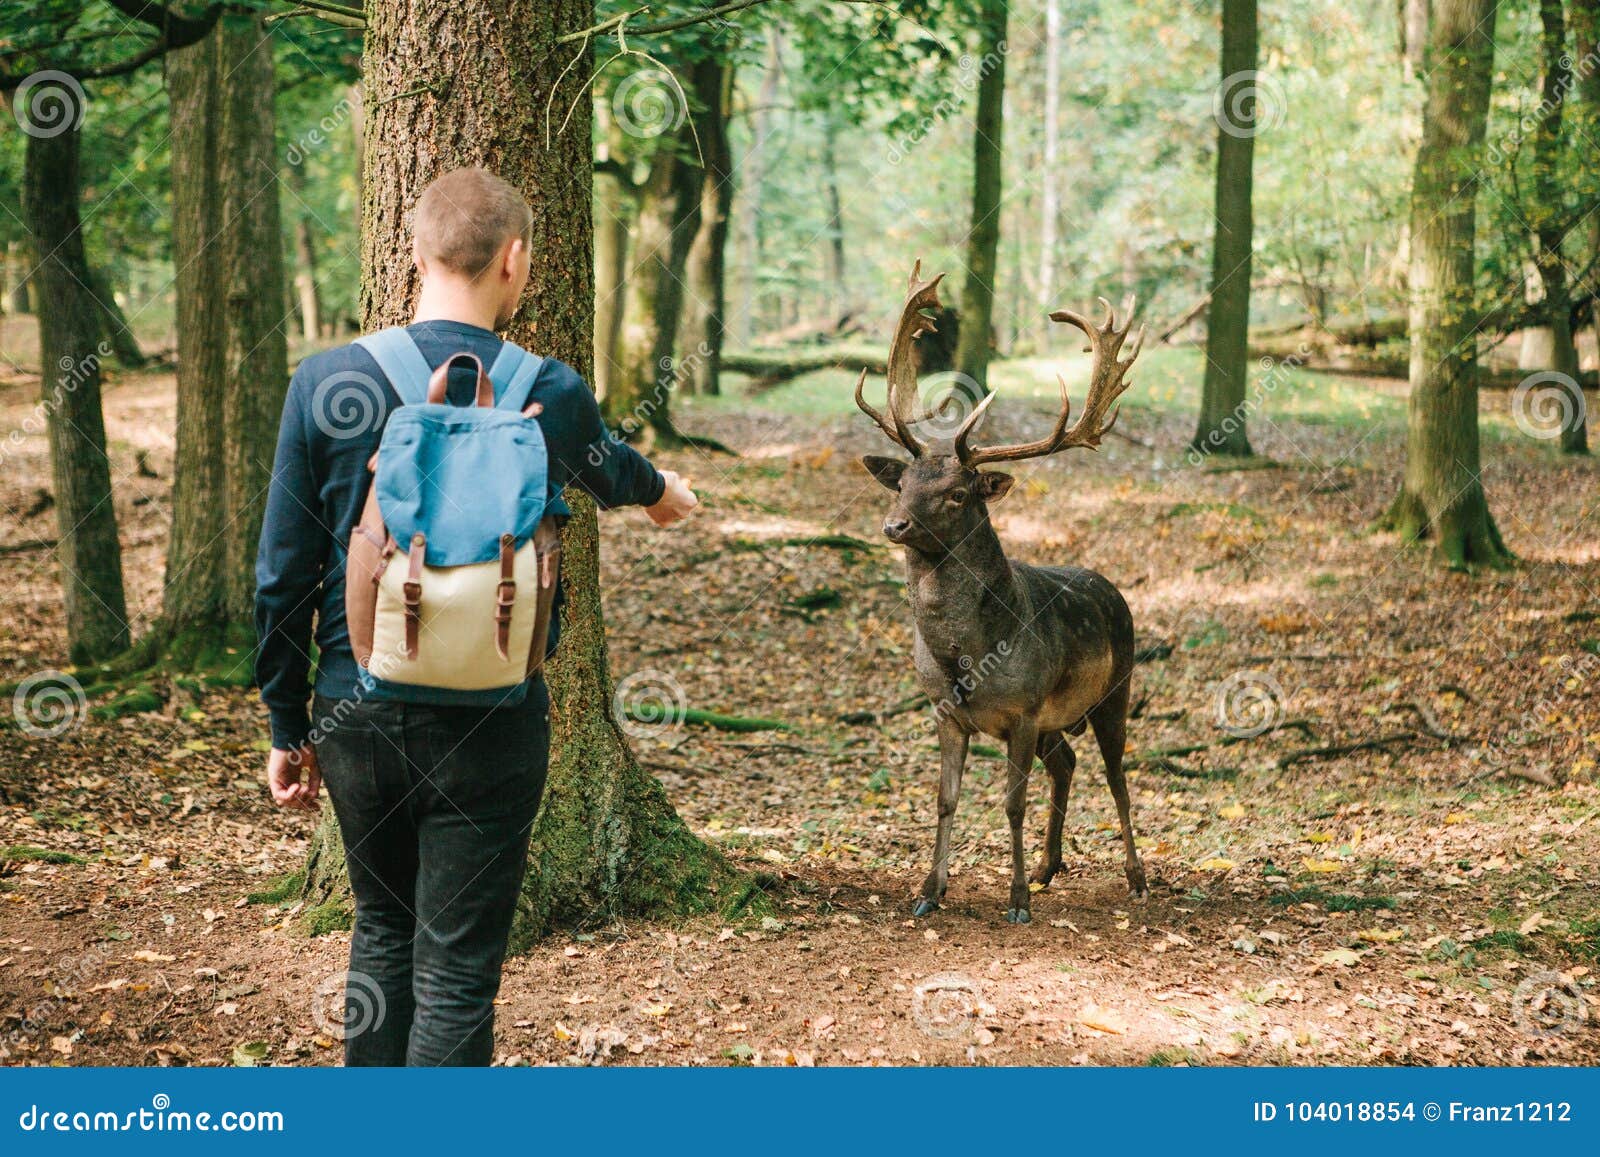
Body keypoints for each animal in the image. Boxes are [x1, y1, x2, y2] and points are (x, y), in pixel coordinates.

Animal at [857, 263, 1147, 924]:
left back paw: (1135, 875)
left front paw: (1014, 901)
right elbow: (945, 800)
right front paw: (929, 890)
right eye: (904, 481)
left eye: (959, 494)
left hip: (1113, 690)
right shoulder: (947, 711)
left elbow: (1012, 803)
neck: (967, 656)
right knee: (1067, 761)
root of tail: (1113, 588)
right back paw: (1047, 866)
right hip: (1059, 718)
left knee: (1118, 774)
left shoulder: (1023, 708)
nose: (894, 525)